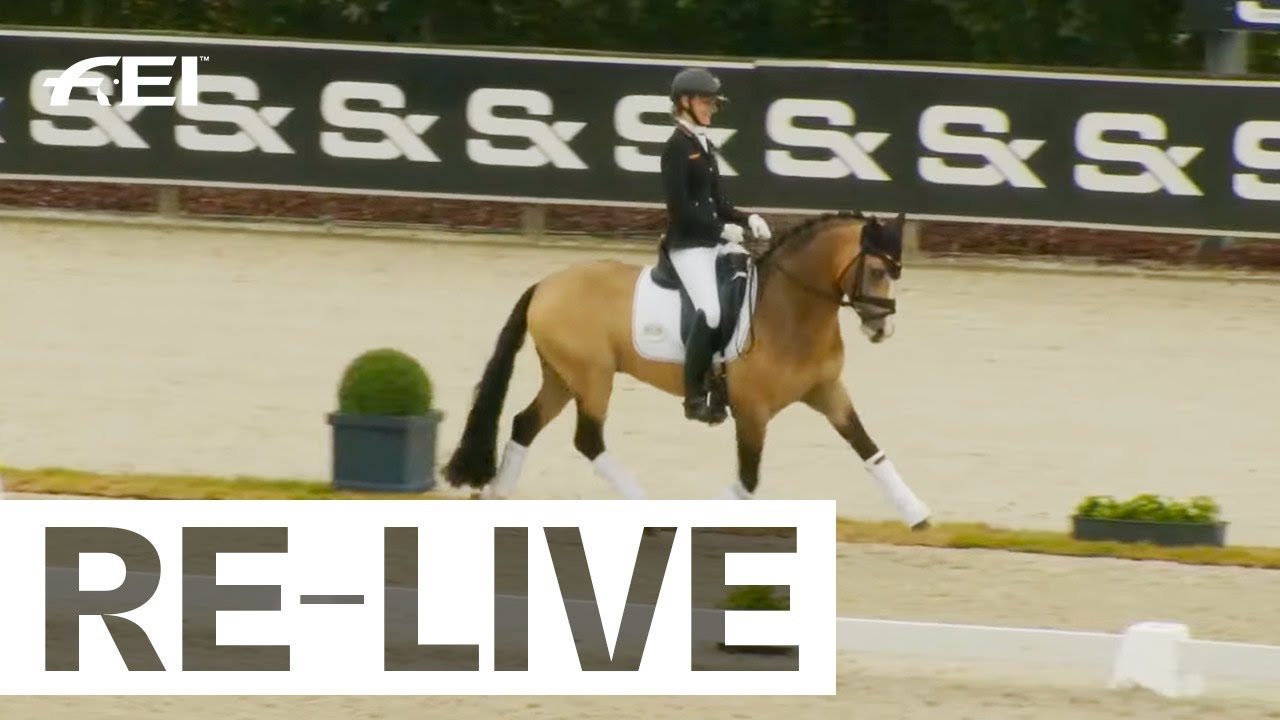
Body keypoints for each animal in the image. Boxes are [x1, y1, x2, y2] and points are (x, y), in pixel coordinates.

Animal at [441, 209, 932, 530]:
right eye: (876, 270)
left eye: (896, 272)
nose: (882, 327)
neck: (791, 310)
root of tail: (546, 283)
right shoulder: (752, 411)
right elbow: (748, 481)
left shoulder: (828, 392)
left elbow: (869, 449)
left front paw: (918, 515)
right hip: (593, 378)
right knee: (588, 440)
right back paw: (647, 509)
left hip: (562, 377)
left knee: (526, 424)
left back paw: (498, 495)